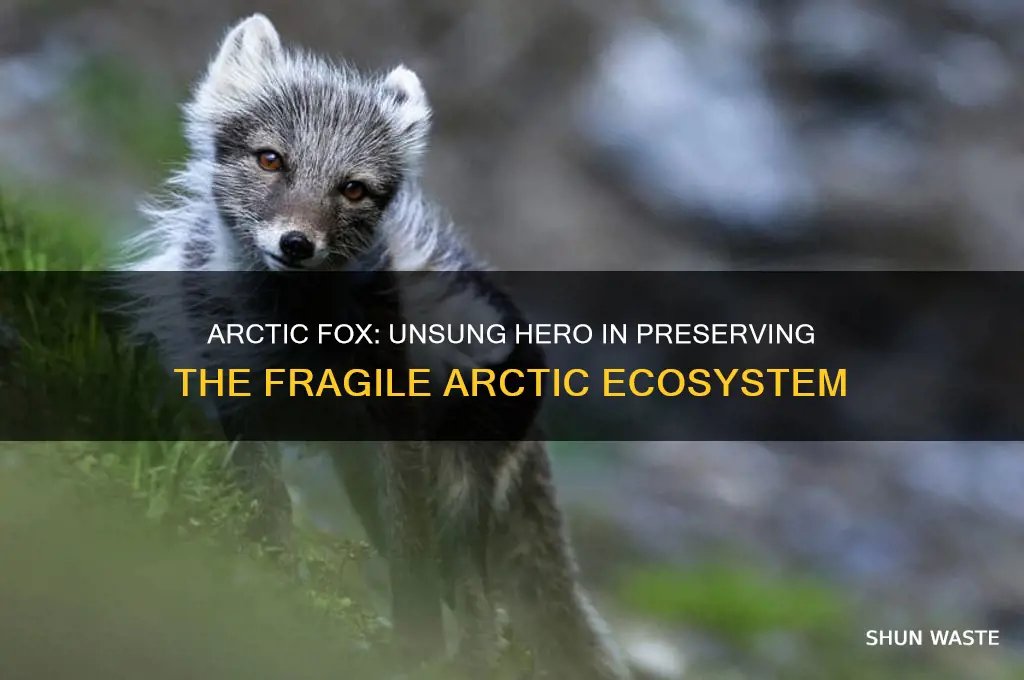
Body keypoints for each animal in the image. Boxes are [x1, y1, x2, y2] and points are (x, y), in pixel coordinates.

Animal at [118, 14, 633, 680]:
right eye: (270, 159)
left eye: (354, 190)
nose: (296, 244)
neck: (291, 331)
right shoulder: (237, 404)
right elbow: (267, 512)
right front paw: (272, 597)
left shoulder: (396, 426)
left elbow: (412, 561)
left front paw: (414, 648)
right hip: (364, 479)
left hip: (456, 495)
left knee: (480, 607)